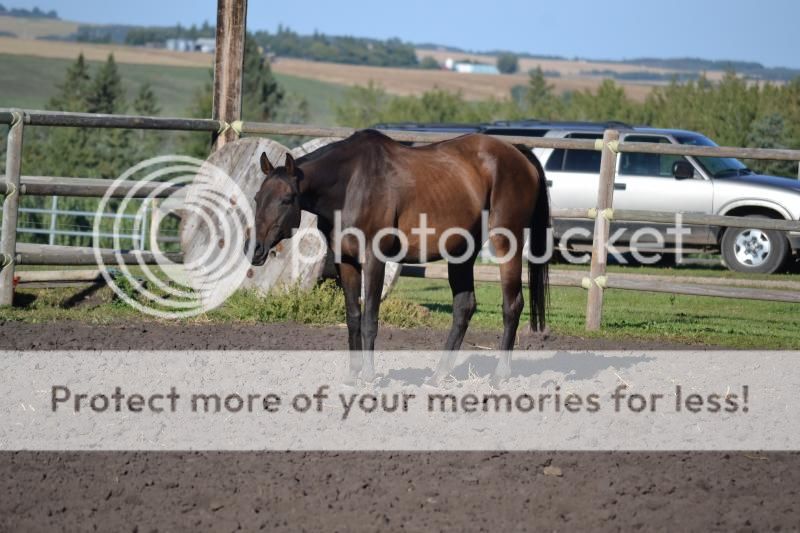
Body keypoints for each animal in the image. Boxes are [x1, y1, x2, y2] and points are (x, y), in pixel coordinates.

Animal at [248, 129, 550, 385]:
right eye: (257, 197)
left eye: (287, 199)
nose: (256, 250)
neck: (351, 183)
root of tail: (518, 153)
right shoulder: (346, 261)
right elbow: (353, 318)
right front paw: (352, 376)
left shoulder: (374, 259)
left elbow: (370, 319)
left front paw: (369, 378)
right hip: (462, 252)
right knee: (464, 307)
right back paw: (438, 376)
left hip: (506, 244)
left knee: (512, 305)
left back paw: (499, 376)